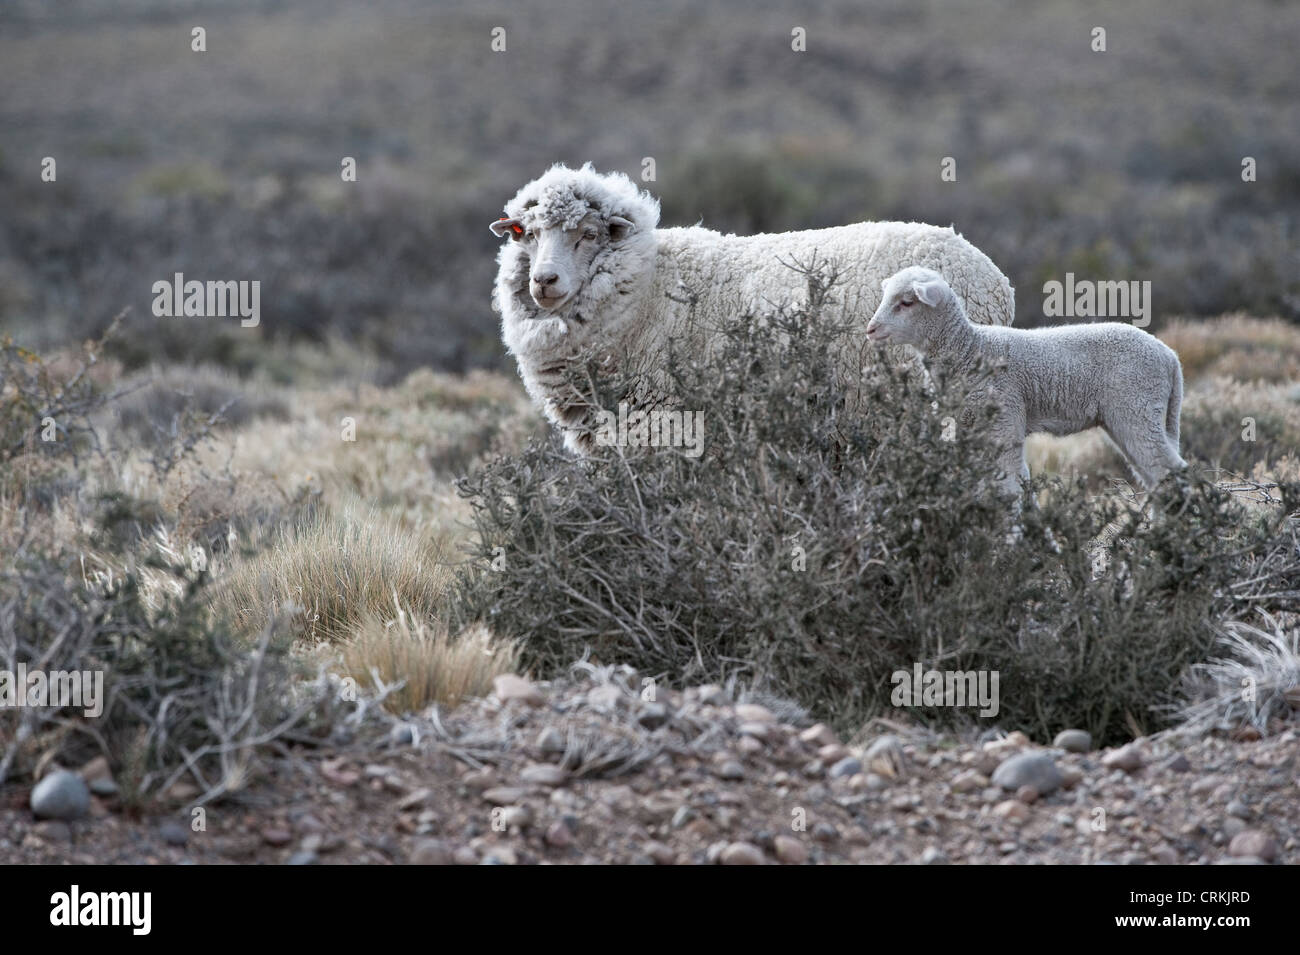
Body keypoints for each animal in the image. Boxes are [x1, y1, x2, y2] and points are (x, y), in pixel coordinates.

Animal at [489, 163, 1015, 453]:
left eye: (589, 234)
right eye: (527, 234)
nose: (544, 281)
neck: (646, 288)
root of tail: (995, 280)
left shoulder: (661, 423)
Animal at [866, 265, 1186, 495]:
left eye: (906, 302)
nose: (871, 329)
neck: (970, 349)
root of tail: (1170, 356)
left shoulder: (1005, 421)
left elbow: (1010, 486)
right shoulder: (968, 427)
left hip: (1137, 408)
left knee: (1169, 471)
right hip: (1131, 418)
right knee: (1157, 476)